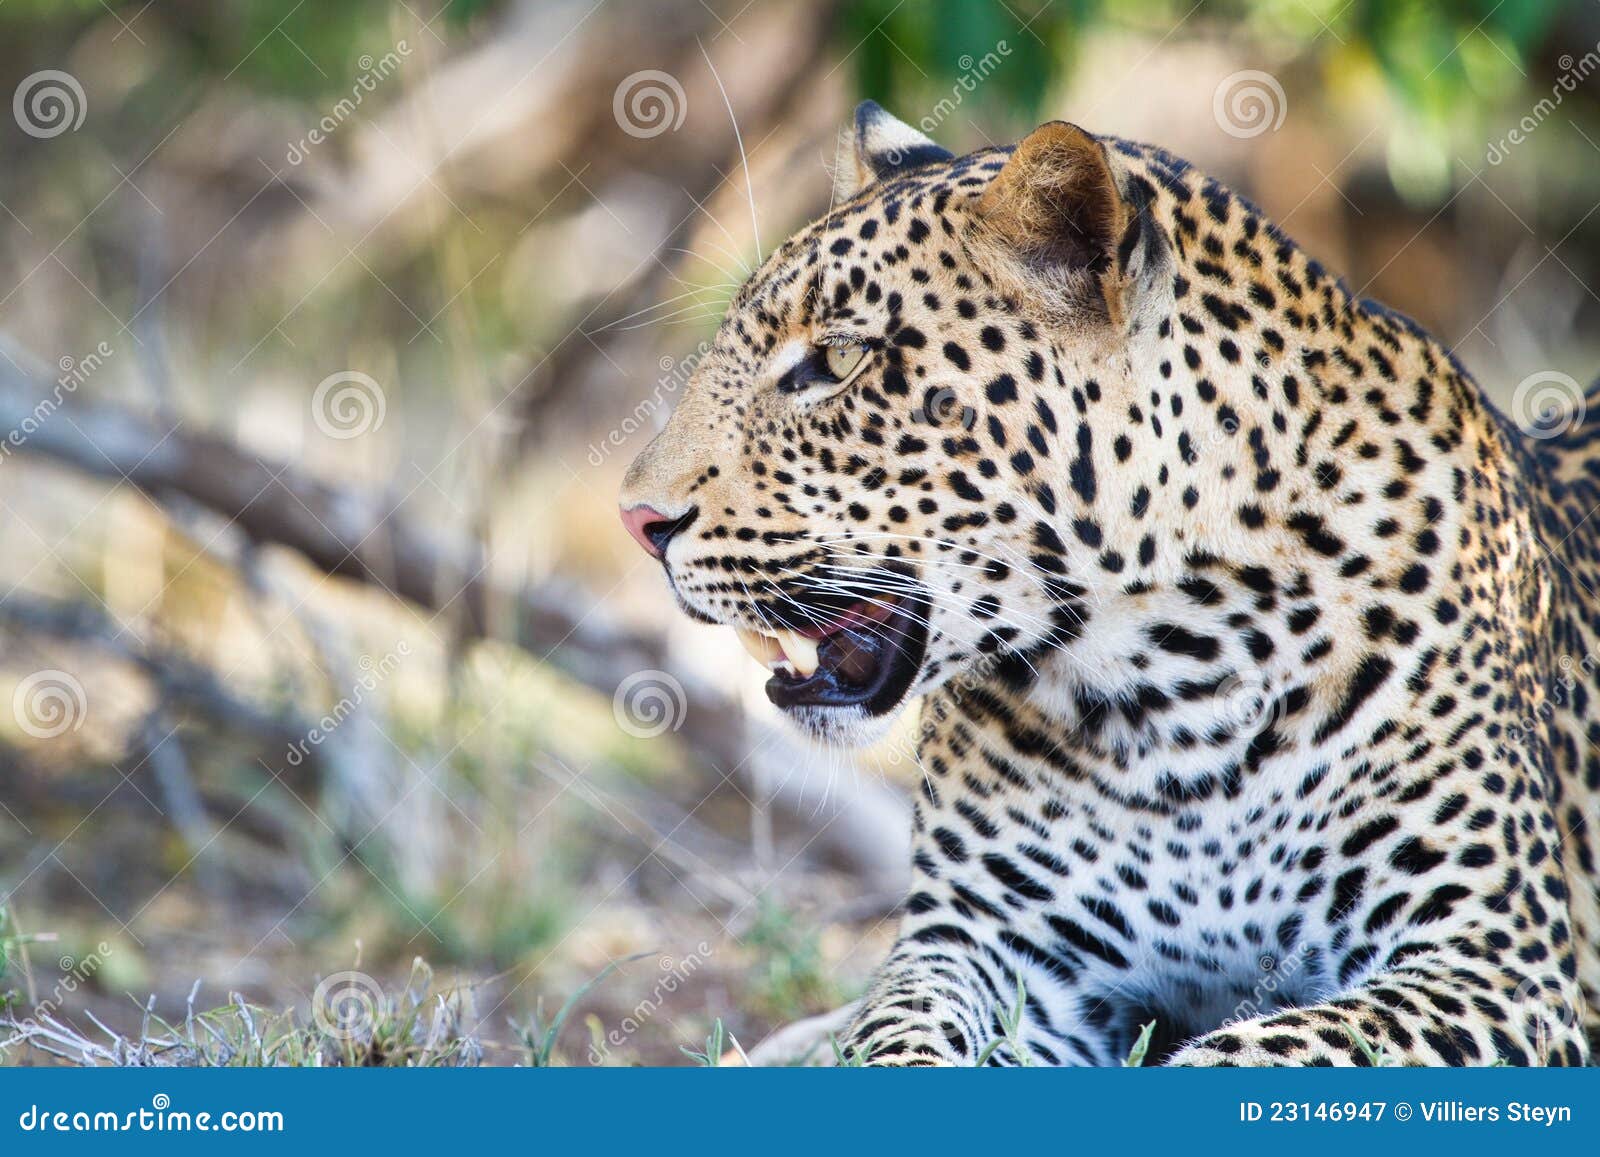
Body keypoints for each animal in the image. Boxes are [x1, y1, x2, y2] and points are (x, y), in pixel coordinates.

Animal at [618, 100, 1600, 1066]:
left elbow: (1264, 1049)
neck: (1179, 684)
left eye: (837, 360)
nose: (638, 521)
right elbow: (897, 1034)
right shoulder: (989, 942)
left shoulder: (1494, 963)